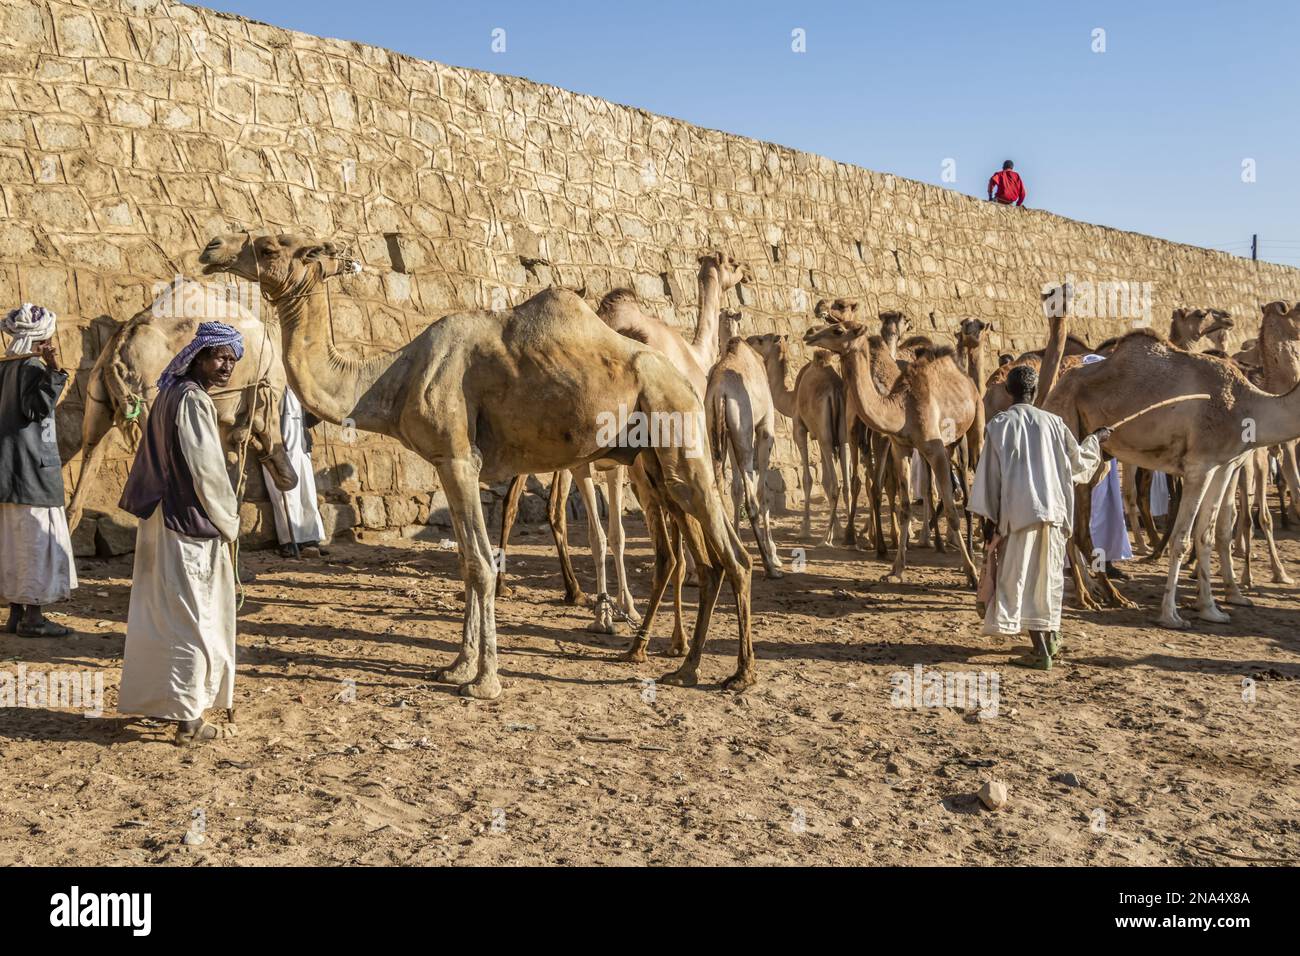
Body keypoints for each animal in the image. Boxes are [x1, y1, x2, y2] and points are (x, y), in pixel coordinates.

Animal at [66, 278, 298, 530]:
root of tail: (115, 356)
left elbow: (230, 468)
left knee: (91, 453)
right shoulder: (267, 391)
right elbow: (262, 438)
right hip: (150, 399)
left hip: (99, 395)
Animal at [199, 232, 755, 697]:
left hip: (680, 441)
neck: (389, 380)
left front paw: (485, 681)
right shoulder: (447, 464)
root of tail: (691, 378)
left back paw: (737, 674)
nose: (211, 247)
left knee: (732, 554)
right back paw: (683, 666)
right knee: (703, 557)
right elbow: (468, 561)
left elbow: (482, 565)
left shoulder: (459, 459)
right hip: (654, 464)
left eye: (270, 247)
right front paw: (457, 667)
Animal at [746, 333, 850, 546]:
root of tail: (835, 391)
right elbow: (824, 480)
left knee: (836, 484)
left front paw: (805, 529)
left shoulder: (800, 430)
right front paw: (837, 530)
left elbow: (808, 479)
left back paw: (825, 539)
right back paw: (851, 536)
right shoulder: (818, 435)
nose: (748, 340)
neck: (791, 398)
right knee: (848, 484)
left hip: (826, 439)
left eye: (761, 339)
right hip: (842, 438)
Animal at [801, 320, 980, 585]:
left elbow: (951, 510)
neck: (903, 409)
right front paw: (896, 569)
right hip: (944, 447)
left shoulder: (934, 447)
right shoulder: (901, 447)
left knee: (967, 491)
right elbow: (905, 506)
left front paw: (972, 573)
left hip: (968, 431)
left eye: (838, 330)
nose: (809, 334)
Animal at [1043, 327, 1300, 628]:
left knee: (1078, 525)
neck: (1249, 406)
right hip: (1067, 426)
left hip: (1099, 458)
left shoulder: (1223, 465)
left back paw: (1106, 596)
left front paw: (1211, 609)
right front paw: (1171, 615)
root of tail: (1055, 388)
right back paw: (1088, 597)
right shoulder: (1199, 466)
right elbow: (1181, 538)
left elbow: (1210, 534)